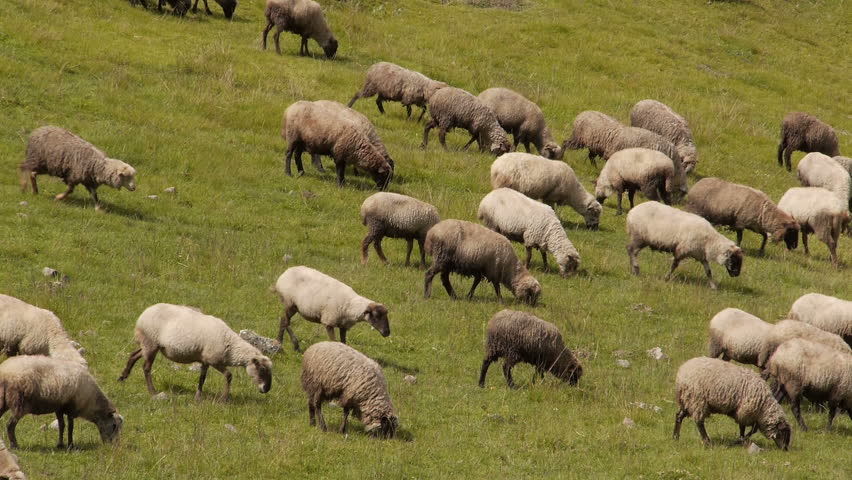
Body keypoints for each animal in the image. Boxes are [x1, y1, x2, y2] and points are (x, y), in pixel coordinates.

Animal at [118, 304, 273, 402]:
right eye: (262, 369)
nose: (266, 389)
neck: (231, 345)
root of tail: (143, 314)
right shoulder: (213, 359)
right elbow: (229, 375)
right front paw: (224, 398)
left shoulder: (205, 360)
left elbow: (202, 378)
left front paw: (198, 397)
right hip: (151, 342)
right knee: (146, 367)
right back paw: (153, 391)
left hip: (149, 344)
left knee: (134, 355)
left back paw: (122, 377)